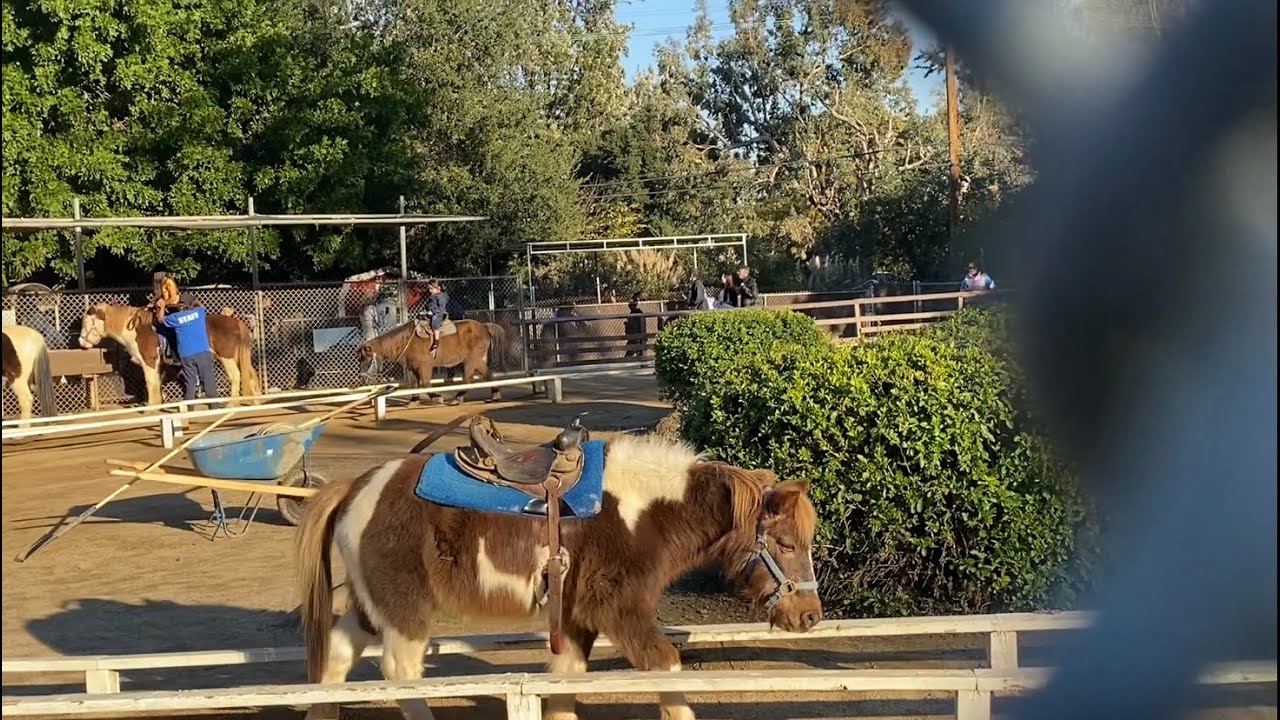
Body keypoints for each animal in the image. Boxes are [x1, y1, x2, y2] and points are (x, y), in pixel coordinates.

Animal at [78, 304, 261, 406]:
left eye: (86, 322)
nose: (80, 341)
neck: (136, 329)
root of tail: (237, 322)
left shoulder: (149, 362)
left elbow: (150, 384)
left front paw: (151, 409)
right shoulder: (159, 366)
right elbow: (156, 385)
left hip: (227, 357)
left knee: (236, 376)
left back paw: (232, 403)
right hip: (239, 357)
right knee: (250, 375)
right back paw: (256, 401)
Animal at [297, 432, 822, 720]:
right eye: (786, 544)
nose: (811, 617)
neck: (645, 511)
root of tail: (355, 488)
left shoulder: (574, 617)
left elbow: (566, 683)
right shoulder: (621, 609)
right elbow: (668, 667)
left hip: (371, 607)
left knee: (337, 657)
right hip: (405, 610)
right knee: (401, 675)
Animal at [357, 319, 509, 405]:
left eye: (367, 360)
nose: (363, 378)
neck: (406, 341)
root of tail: (484, 327)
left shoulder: (425, 366)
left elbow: (425, 384)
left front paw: (437, 397)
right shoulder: (412, 368)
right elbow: (415, 385)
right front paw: (413, 401)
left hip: (471, 360)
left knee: (467, 379)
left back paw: (456, 398)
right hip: (478, 360)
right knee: (488, 375)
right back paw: (495, 396)